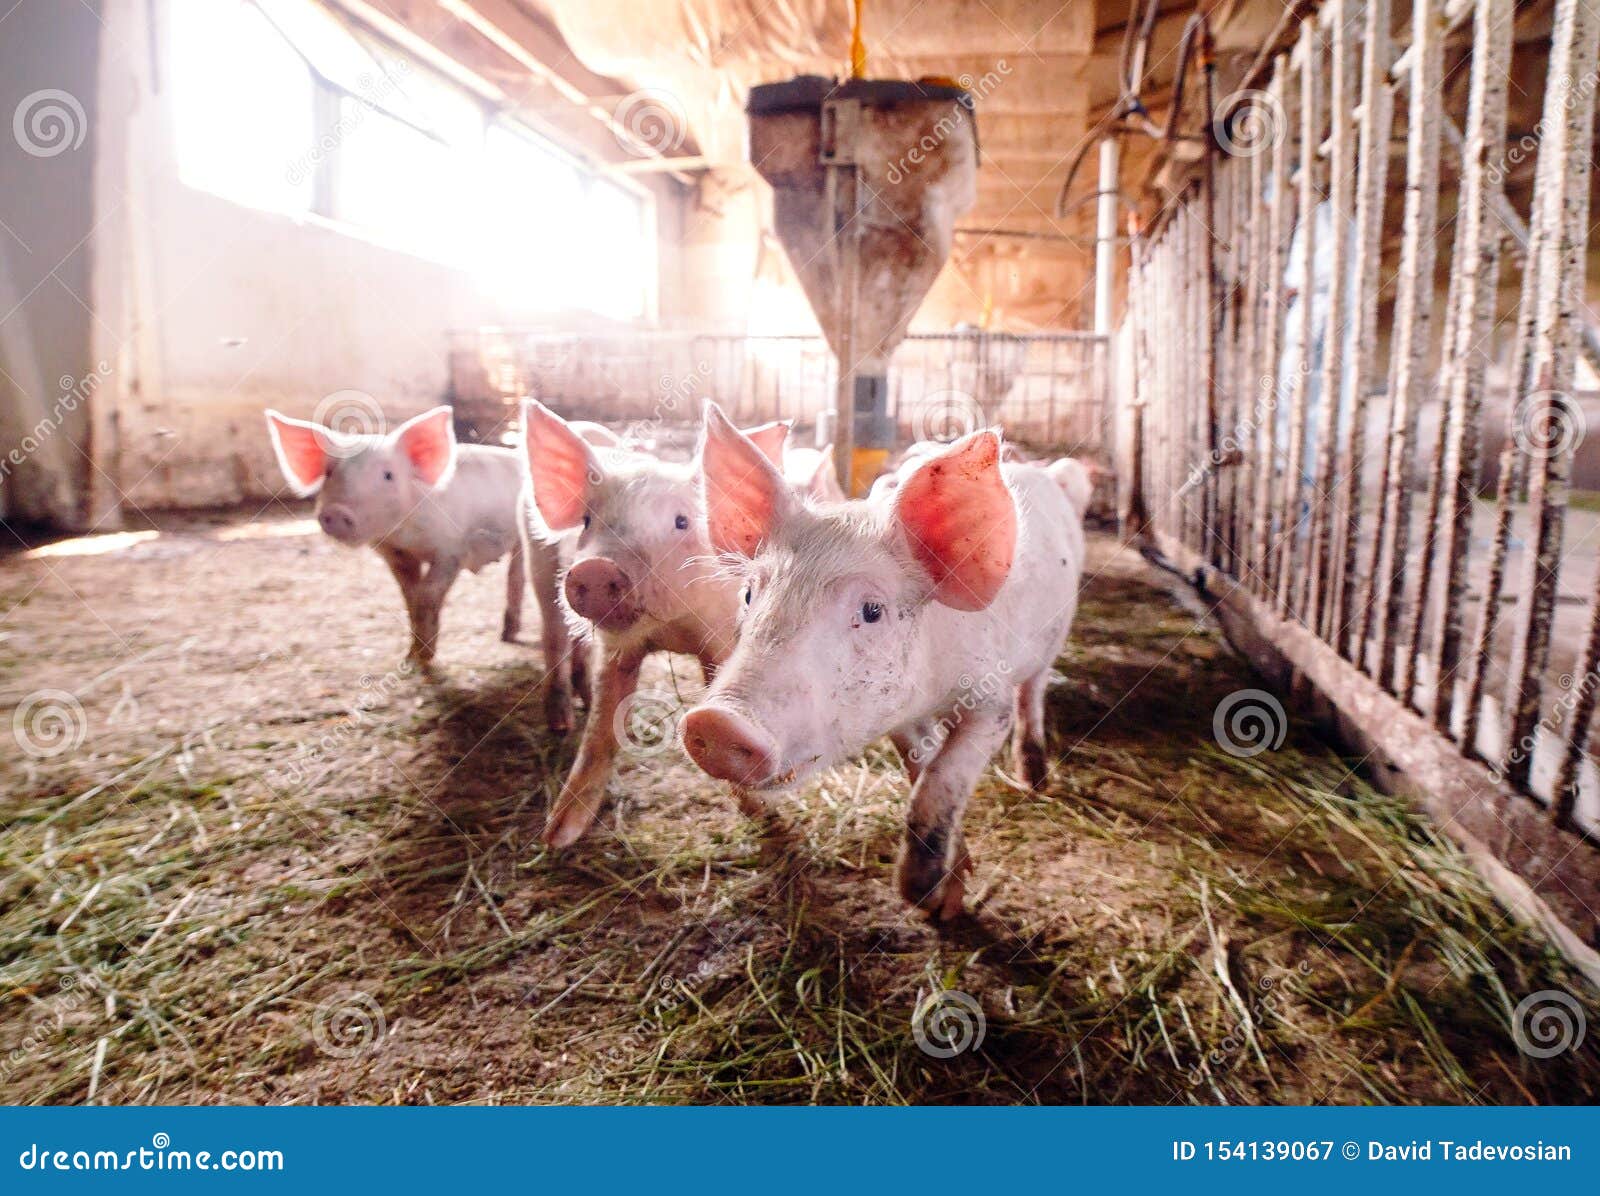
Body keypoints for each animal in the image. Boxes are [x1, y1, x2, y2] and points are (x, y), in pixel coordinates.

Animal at [264, 405, 584, 732]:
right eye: (329, 474)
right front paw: (411, 658)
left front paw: (426, 655)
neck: (406, 533)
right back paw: (506, 634)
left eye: (388, 475)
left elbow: (428, 594)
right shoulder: (395, 555)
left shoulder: (450, 551)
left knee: (516, 576)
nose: (337, 512)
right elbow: (409, 597)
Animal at [520, 400, 791, 847]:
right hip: (539, 565)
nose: (595, 568)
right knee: (553, 635)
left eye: (681, 522)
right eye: (588, 521)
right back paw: (562, 720)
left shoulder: (720, 635)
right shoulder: (617, 650)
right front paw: (558, 836)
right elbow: (598, 734)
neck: (670, 630)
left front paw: (765, 817)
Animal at [679, 404, 1085, 920]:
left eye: (872, 611)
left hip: (1056, 632)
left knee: (1033, 691)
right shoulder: (900, 716)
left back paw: (1034, 781)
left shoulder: (988, 702)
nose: (715, 722)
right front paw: (949, 888)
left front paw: (921, 897)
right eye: (750, 593)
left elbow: (941, 779)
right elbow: (922, 770)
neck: (931, 693)